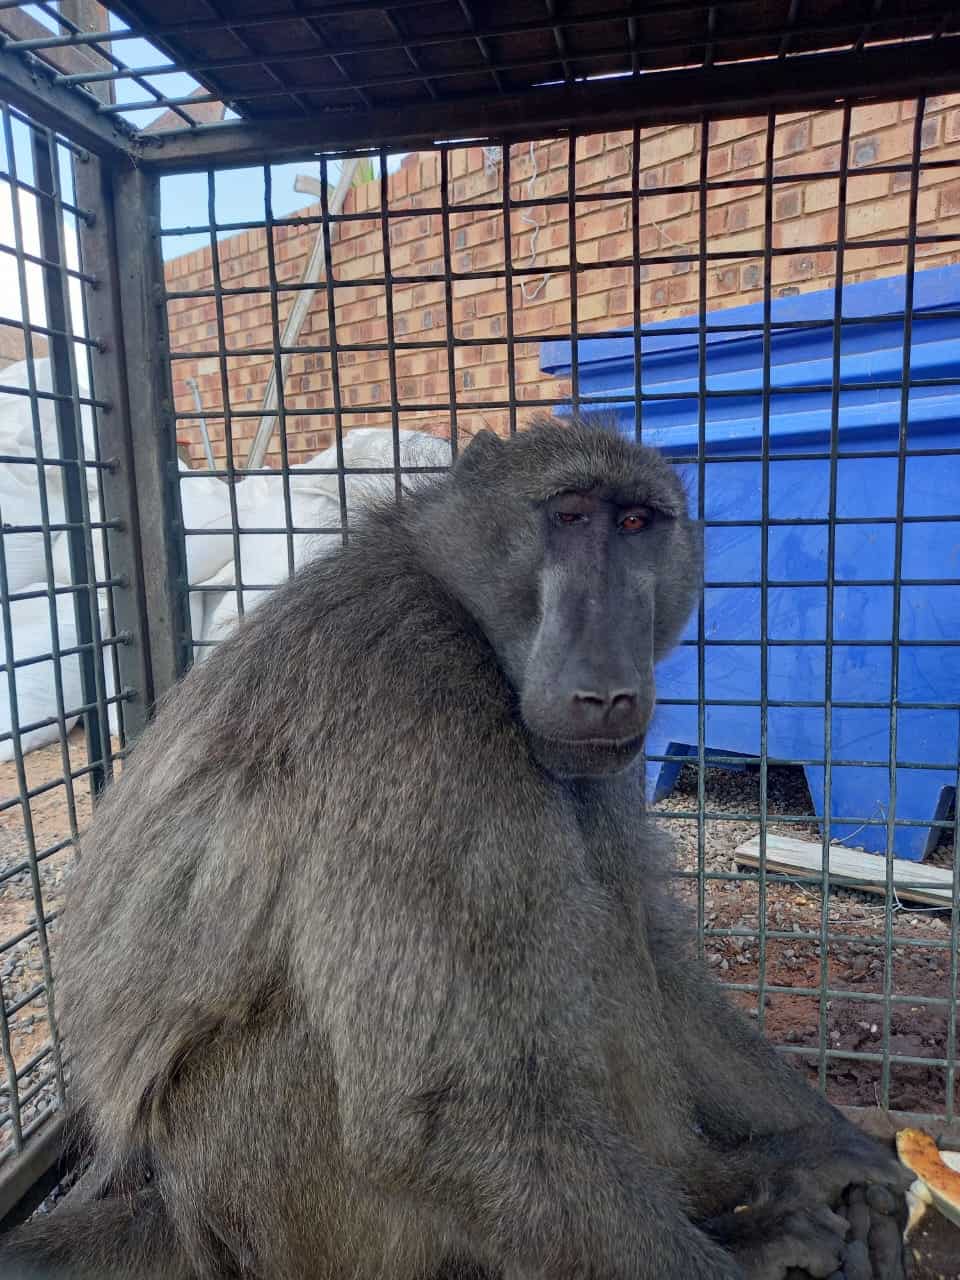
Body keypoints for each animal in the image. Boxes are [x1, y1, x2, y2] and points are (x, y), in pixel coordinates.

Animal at [0, 417, 910, 1280]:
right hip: (276, 1201)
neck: (460, 608)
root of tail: (178, 1211)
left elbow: (652, 953)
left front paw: (840, 1152)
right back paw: (732, 1215)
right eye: (568, 517)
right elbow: (436, 1111)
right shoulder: (413, 716)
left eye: (637, 522)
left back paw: (723, 1181)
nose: (606, 688)